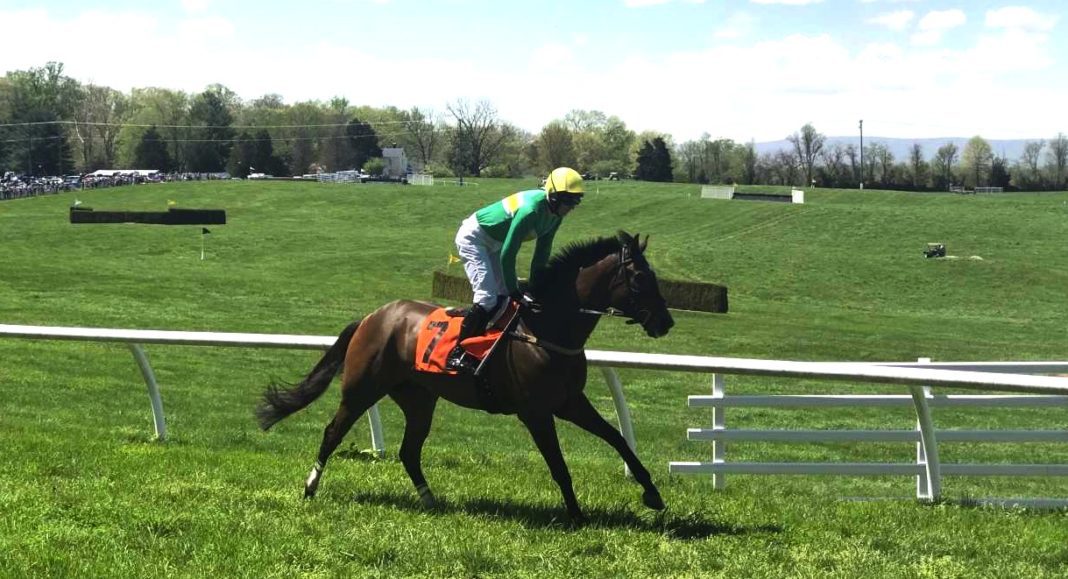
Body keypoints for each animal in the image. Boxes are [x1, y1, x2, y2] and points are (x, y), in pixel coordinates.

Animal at [256, 231, 675, 521]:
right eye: (640, 278)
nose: (666, 322)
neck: (546, 328)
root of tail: (374, 316)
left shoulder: (569, 402)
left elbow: (618, 438)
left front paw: (652, 493)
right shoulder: (536, 412)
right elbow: (558, 465)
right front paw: (575, 515)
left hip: (418, 398)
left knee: (409, 451)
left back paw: (431, 501)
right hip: (362, 387)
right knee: (333, 431)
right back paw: (310, 487)